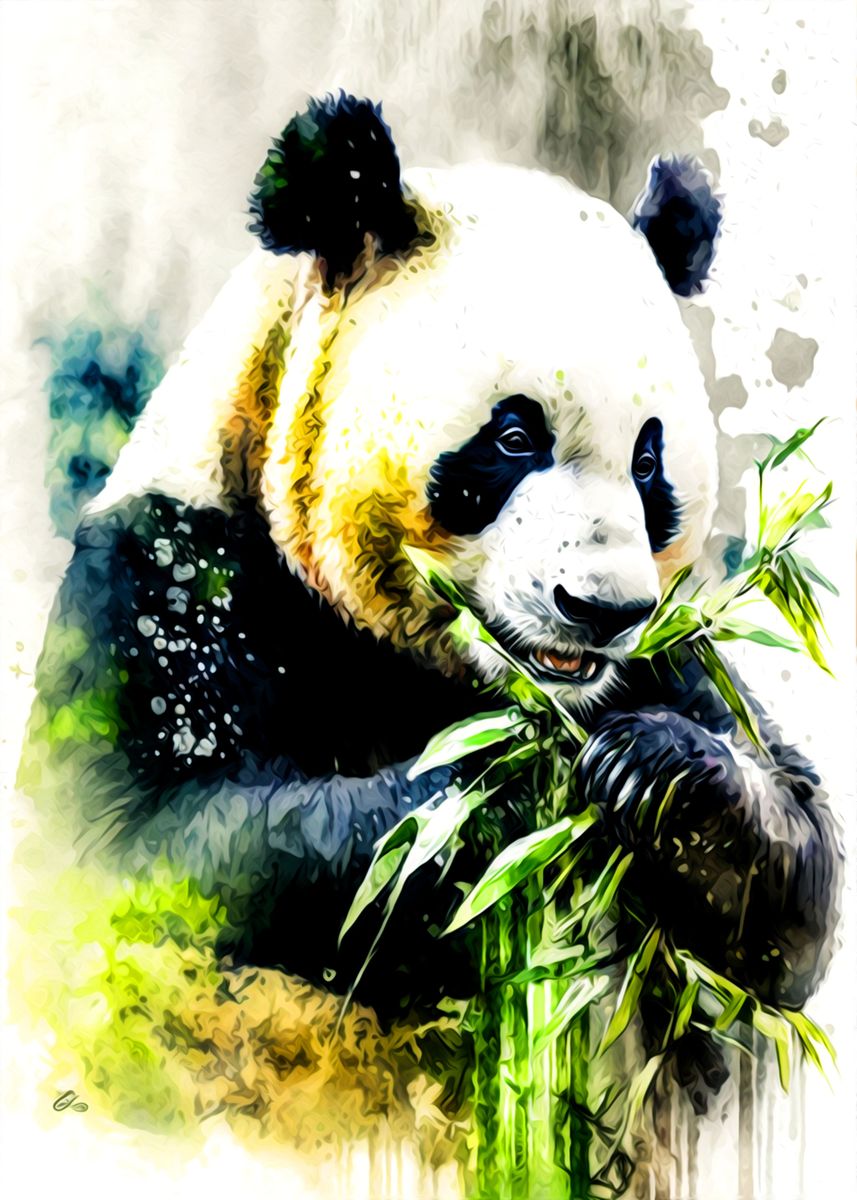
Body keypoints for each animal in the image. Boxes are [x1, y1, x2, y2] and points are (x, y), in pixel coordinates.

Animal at [25, 95, 835, 1048]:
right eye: (513, 437)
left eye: (648, 462)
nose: (598, 610)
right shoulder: (169, 573)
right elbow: (136, 848)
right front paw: (502, 787)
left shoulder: (661, 651)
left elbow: (795, 887)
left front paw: (650, 769)